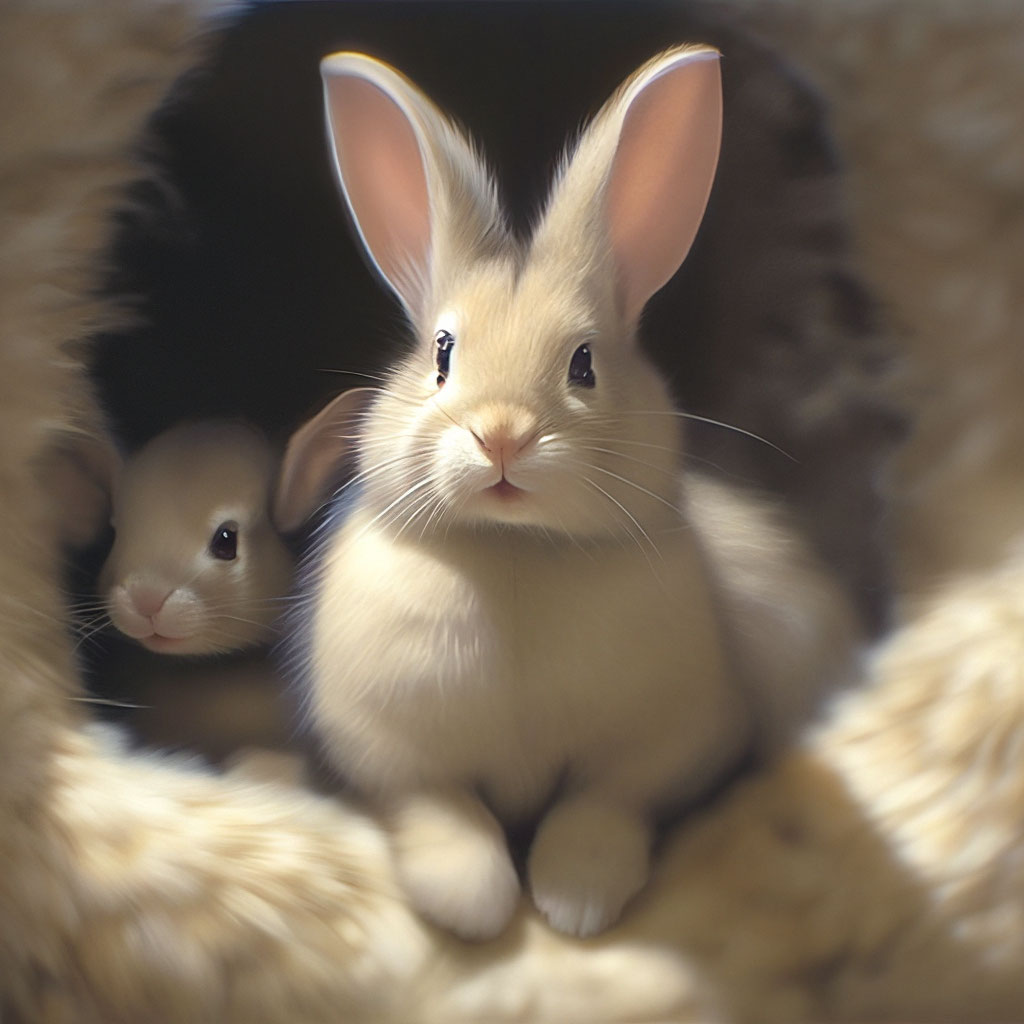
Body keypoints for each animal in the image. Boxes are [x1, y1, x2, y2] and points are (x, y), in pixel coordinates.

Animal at [275, 45, 860, 941]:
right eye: (441, 352)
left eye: (584, 363)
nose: (502, 436)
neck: (518, 553)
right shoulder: (386, 752)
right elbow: (443, 811)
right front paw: (471, 906)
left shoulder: (668, 745)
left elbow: (602, 805)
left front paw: (577, 904)